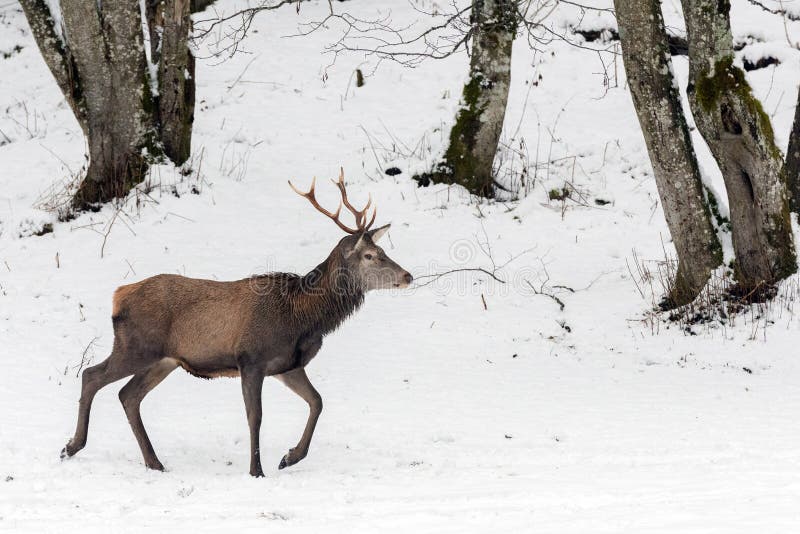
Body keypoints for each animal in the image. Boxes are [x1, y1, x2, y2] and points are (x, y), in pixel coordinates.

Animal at [60, 169, 413, 477]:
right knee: (91, 375)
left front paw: (289, 457)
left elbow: (318, 401)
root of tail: (118, 295)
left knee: (128, 395)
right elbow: (255, 417)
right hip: (136, 346)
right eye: (370, 255)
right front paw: (257, 470)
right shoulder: (251, 359)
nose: (407, 275)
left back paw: (154, 462)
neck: (301, 317)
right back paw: (72, 446)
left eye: (383, 249)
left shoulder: (288, 365)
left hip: (164, 360)